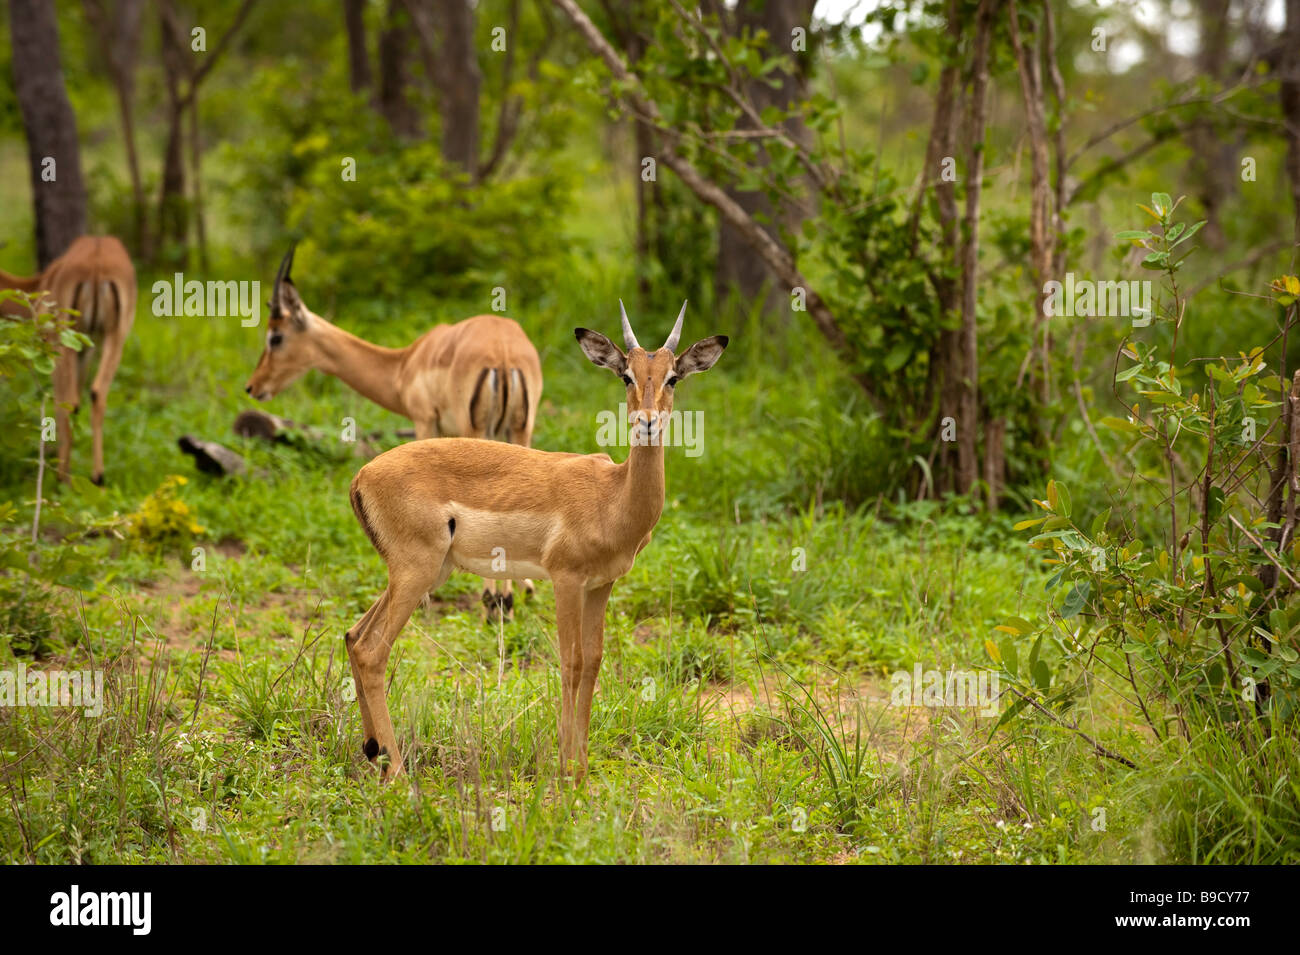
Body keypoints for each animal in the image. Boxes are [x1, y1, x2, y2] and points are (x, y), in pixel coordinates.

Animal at [0, 236, 137, 484]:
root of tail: (97, 263)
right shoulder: (85, 347)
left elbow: (59, 400)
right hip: (115, 335)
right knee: (97, 393)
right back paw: (97, 477)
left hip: (65, 341)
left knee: (69, 400)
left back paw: (63, 476)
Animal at [245, 246, 543, 619]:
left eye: (276, 337)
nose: (253, 386)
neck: (406, 364)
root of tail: (503, 353)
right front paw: (527, 587)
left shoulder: (424, 422)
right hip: (520, 430)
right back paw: (507, 601)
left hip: (478, 430)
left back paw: (494, 601)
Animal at [344, 301, 727, 780]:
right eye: (626, 375)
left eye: (673, 376)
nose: (647, 422)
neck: (612, 496)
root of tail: (362, 476)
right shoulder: (566, 580)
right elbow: (571, 662)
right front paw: (566, 765)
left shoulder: (601, 585)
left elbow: (594, 662)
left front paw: (581, 765)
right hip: (416, 572)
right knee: (373, 650)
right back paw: (396, 768)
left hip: (422, 572)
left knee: (353, 635)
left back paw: (372, 750)